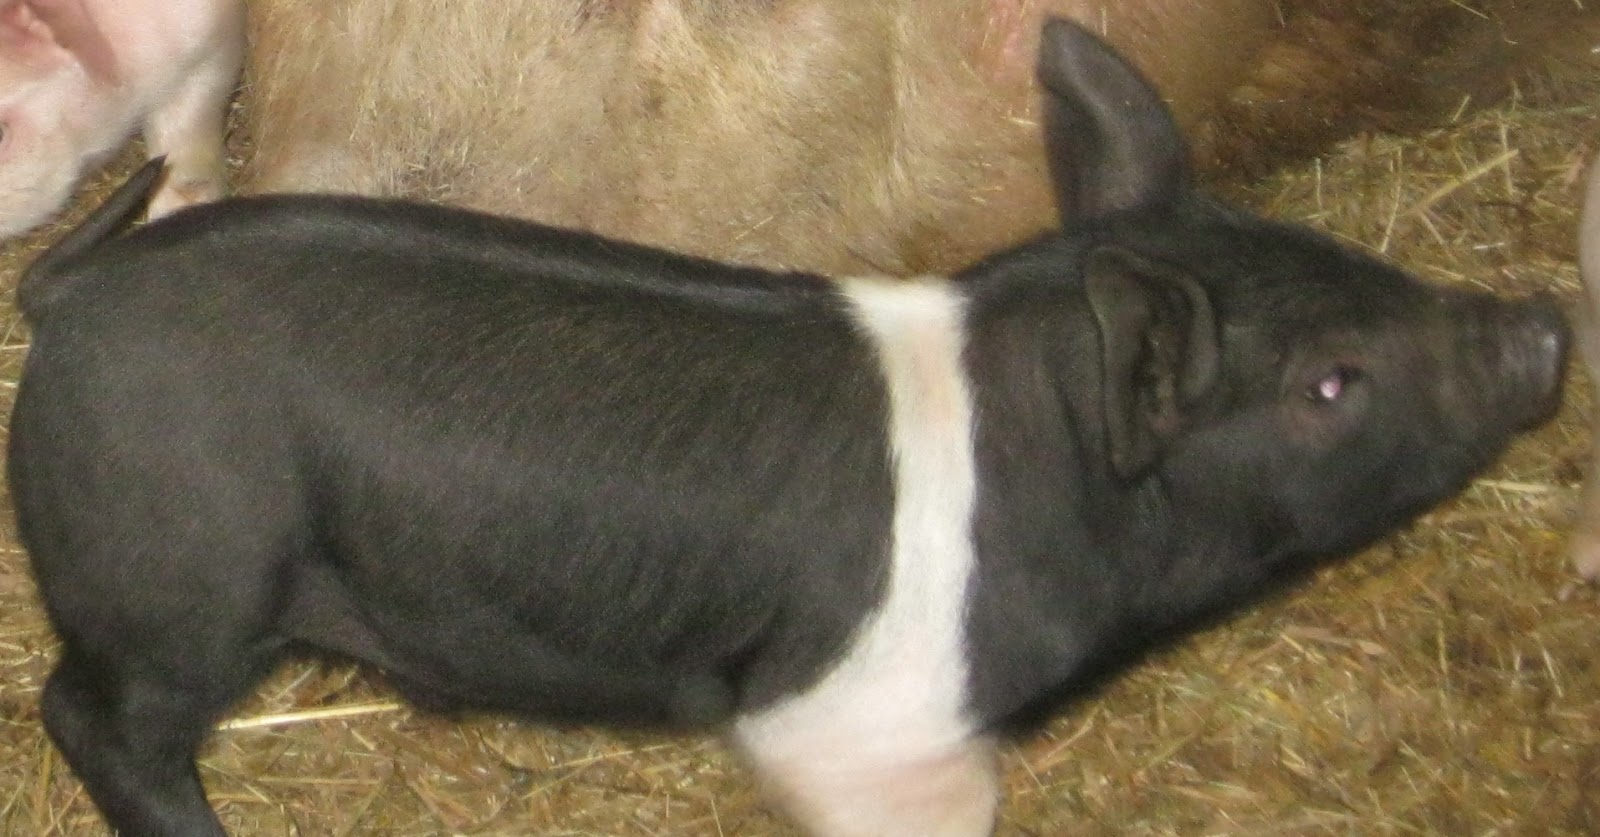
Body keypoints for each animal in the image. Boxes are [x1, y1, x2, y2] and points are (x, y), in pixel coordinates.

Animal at [10, 18, 1568, 837]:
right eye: (1330, 385)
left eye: (1334, 254)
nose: (1547, 323)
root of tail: (70, 291)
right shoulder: (861, 717)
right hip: (180, 575)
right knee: (94, 714)